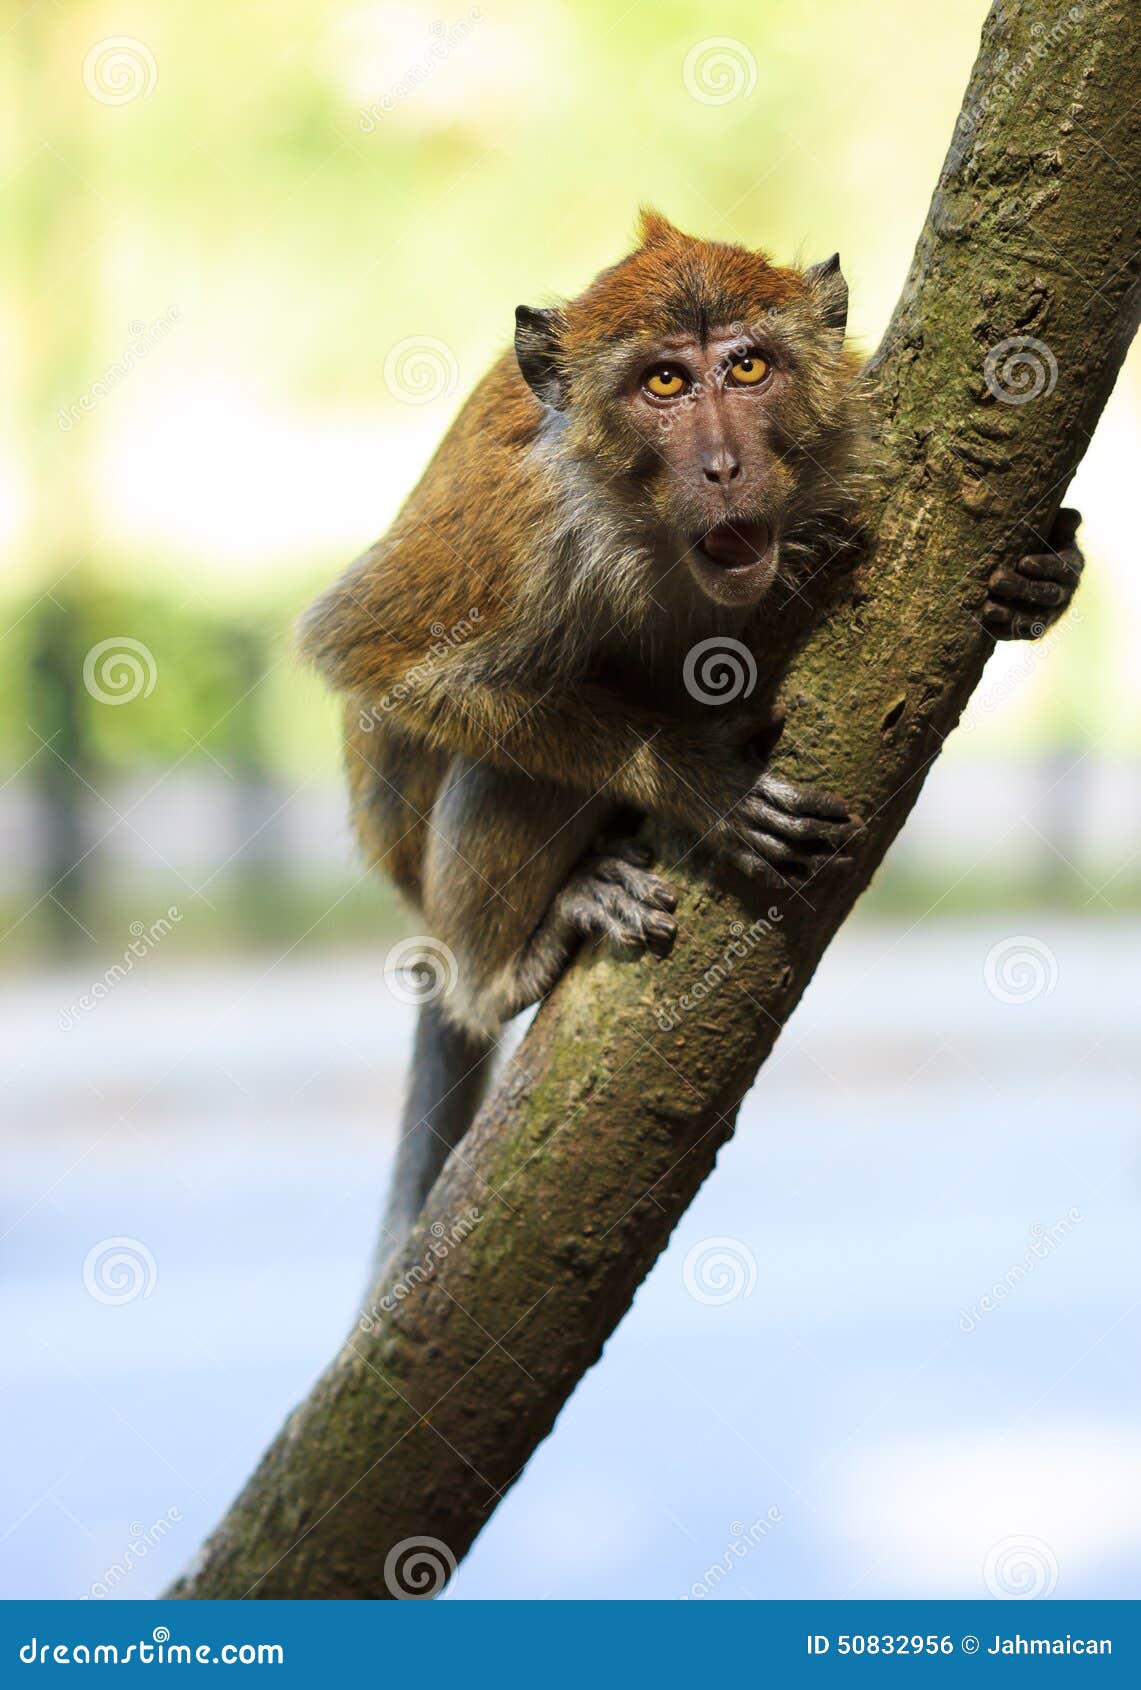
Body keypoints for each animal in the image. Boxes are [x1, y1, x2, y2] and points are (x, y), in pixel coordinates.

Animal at [299, 210, 1083, 1260]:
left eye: (747, 368)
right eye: (664, 384)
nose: (722, 467)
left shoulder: (852, 456)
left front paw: (1048, 573)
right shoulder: (519, 532)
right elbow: (375, 656)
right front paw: (696, 781)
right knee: (506, 772)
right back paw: (507, 970)